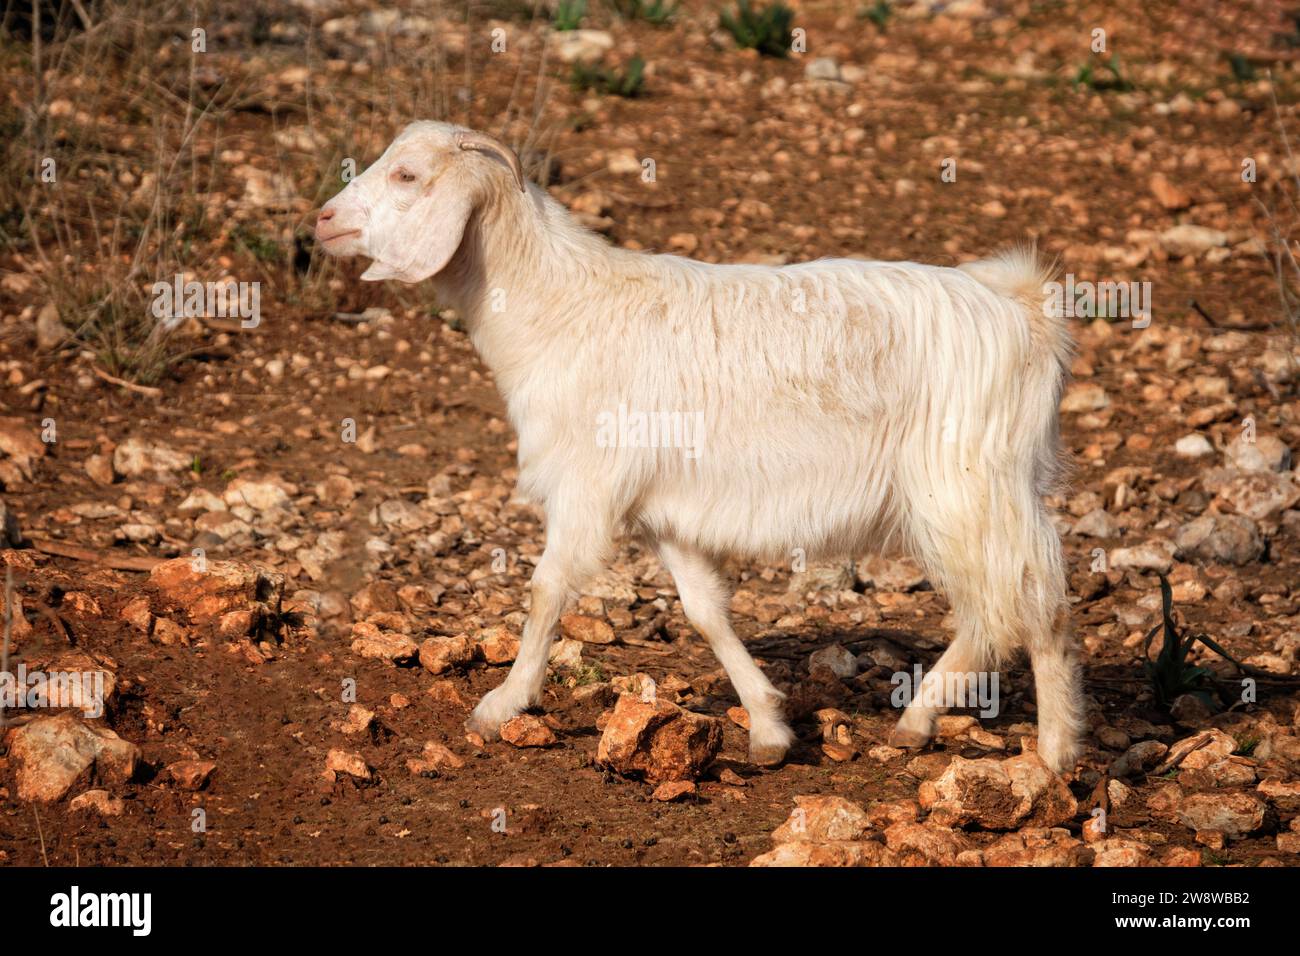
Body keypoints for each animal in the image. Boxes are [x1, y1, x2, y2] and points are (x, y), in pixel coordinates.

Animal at [316, 121, 1084, 772]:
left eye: (408, 175)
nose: (323, 220)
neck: (560, 306)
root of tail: (1024, 308)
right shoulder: (663, 504)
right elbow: (704, 611)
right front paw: (769, 727)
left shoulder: (587, 483)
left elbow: (546, 589)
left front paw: (503, 703)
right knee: (994, 609)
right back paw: (920, 722)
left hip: (969, 483)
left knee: (1032, 601)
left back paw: (1053, 755)